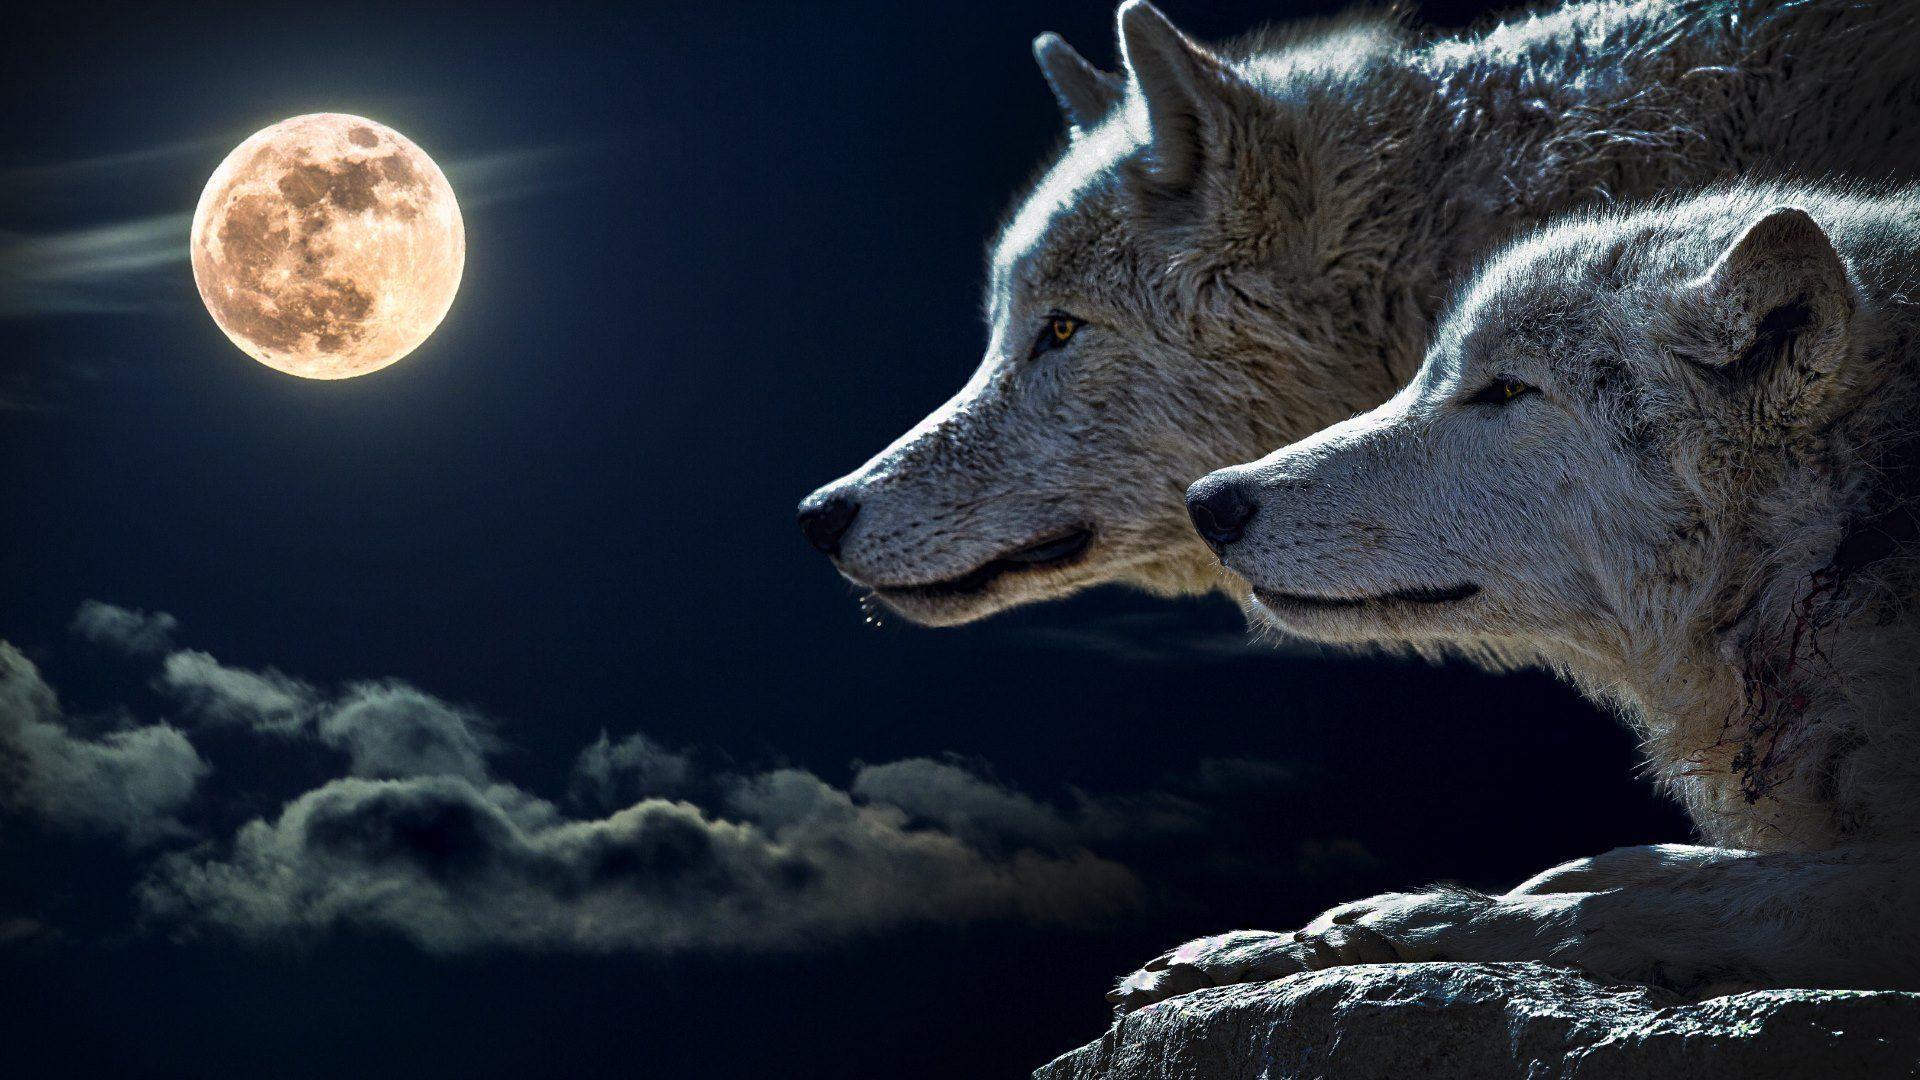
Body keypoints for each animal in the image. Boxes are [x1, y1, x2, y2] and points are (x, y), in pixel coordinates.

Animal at [1114, 184, 1920, 1009]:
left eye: (1506, 389)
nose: (1209, 502)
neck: (1839, 550)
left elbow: (1643, 905)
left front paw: (1407, 923)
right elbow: (1654, 864)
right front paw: (1253, 946)